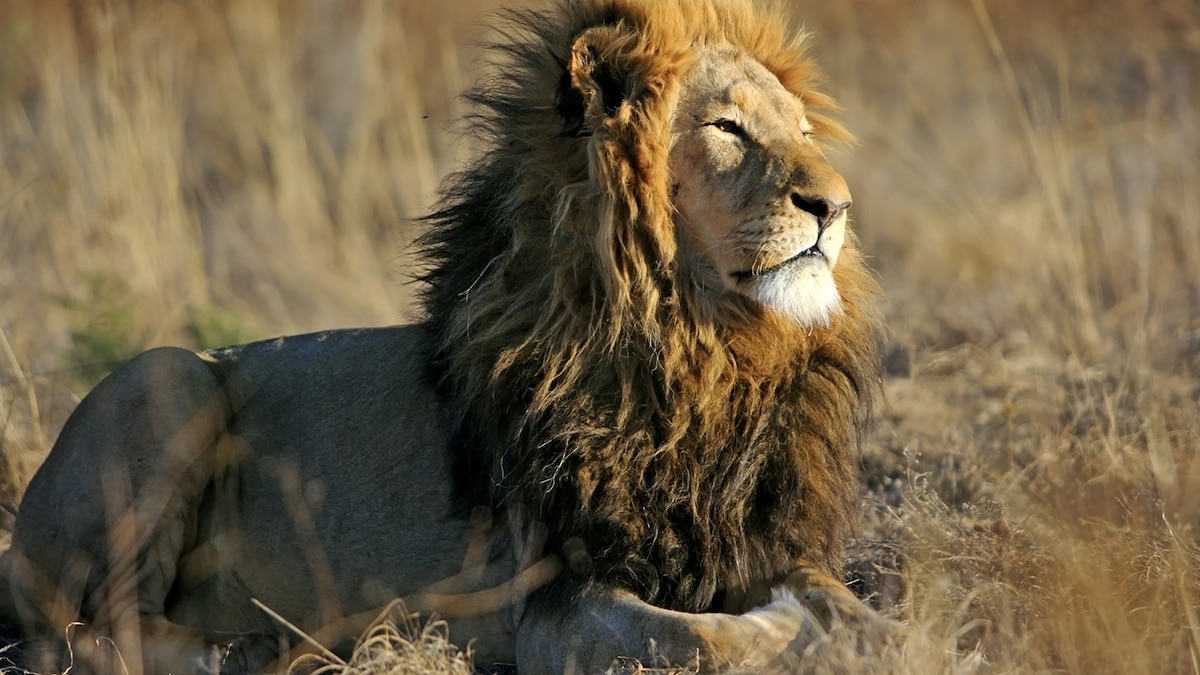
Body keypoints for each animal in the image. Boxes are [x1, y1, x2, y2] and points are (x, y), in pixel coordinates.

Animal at [0, 0, 889, 672]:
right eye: (728, 128)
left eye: (803, 130)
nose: (837, 206)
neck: (704, 351)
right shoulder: (554, 602)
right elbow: (691, 636)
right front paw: (784, 630)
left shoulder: (753, 537)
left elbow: (847, 602)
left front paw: (866, 628)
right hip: (166, 376)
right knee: (95, 632)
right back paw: (263, 646)